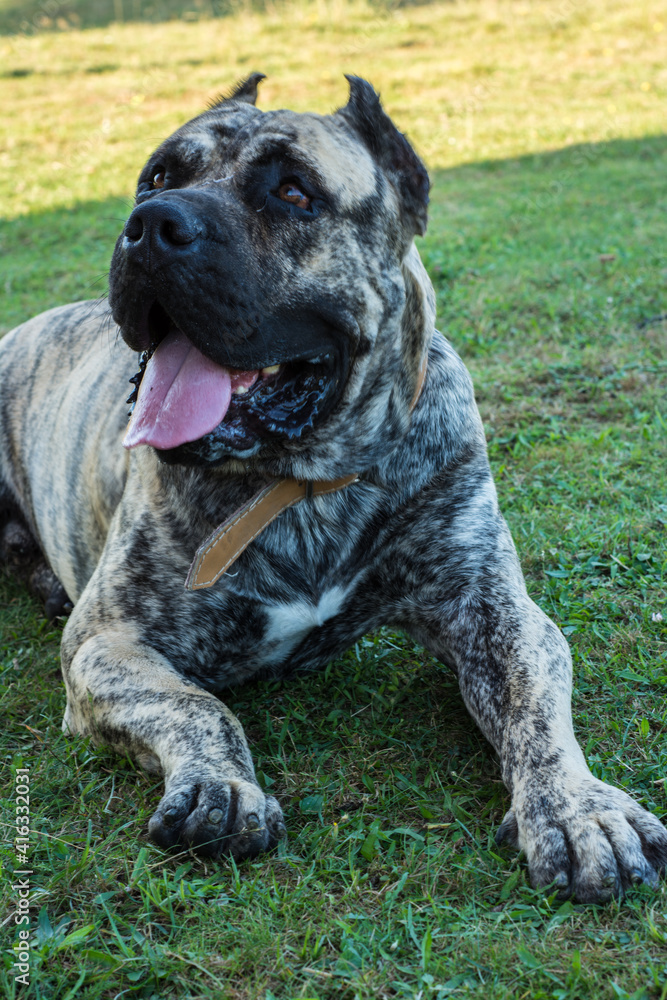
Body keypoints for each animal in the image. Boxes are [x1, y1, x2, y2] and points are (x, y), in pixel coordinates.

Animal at [1, 70, 667, 900]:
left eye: (294, 192)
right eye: (156, 177)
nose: (150, 224)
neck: (304, 483)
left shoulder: (491, 609)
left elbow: (535, 704)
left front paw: (579, 809)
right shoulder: (110, 641)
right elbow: (195, 706)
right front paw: (222, 786)